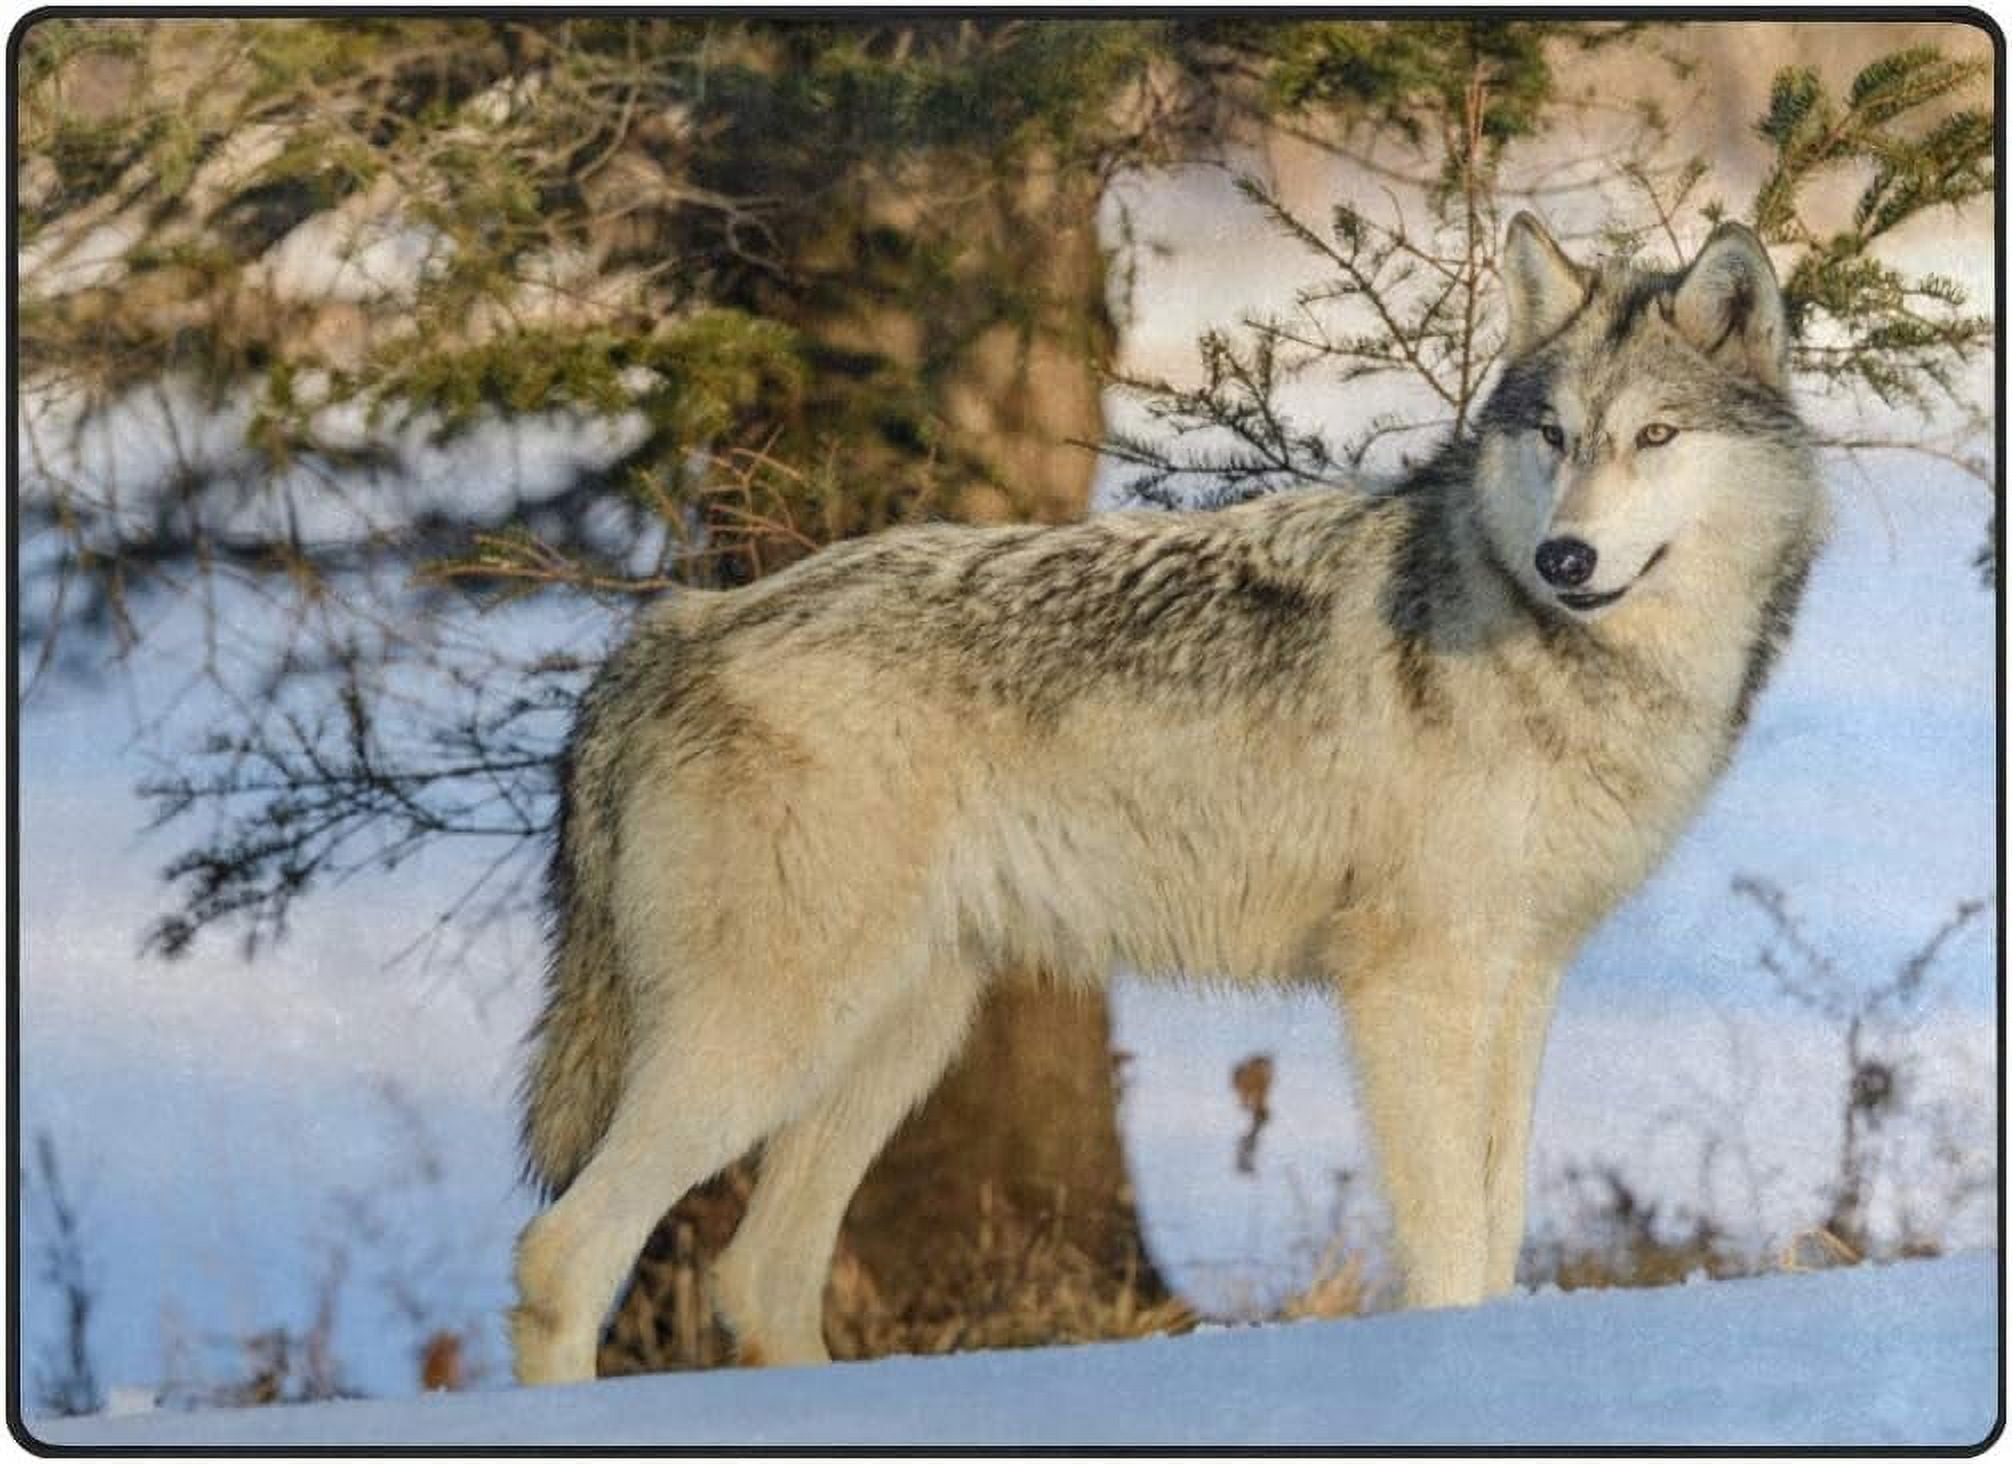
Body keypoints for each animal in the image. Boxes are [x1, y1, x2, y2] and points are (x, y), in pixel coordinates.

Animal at [510, 214, 1827, 1384]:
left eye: (1654, 434)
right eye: (1551, 434)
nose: (1564, 558)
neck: (1562, 654)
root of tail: (679, 626)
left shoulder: (1519, 977)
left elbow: (1496, 1225)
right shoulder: (1411, 983)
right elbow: (1451, 1245)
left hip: (897, 1035)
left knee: (758, 1276)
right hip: (778, 1035)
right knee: (561, 1255)